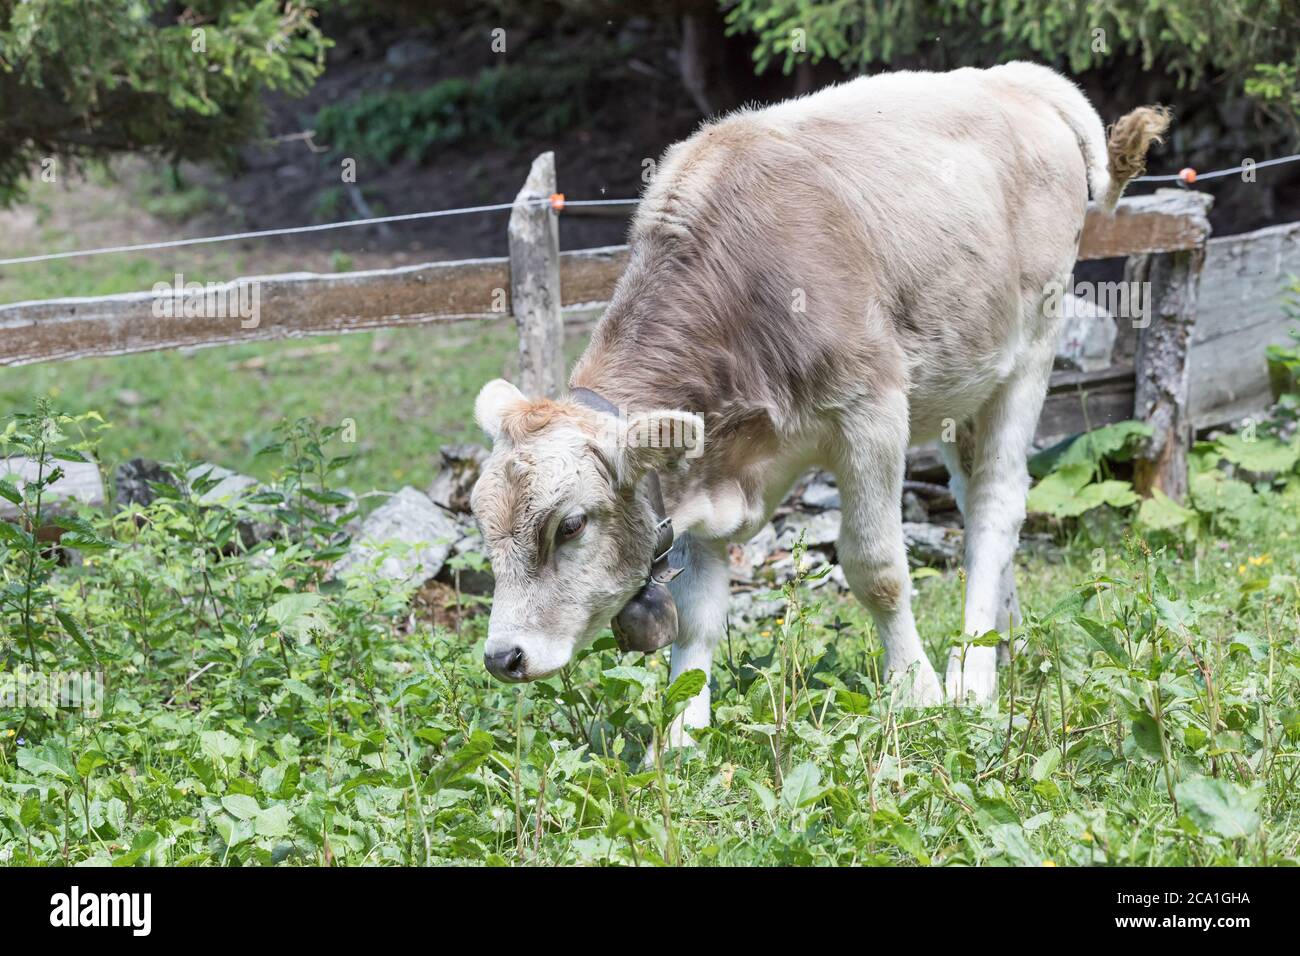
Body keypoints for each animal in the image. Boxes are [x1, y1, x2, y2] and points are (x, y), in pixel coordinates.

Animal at [469, 62, 1168, 739]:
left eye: (571, 524)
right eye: (483, 524)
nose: (503, 657)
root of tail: (1021, 79)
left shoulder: (873, 413)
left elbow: (877, 569)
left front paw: (917, 690)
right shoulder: (699, 470)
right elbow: (697, 612)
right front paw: (682, 738)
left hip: (1030, 353)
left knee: (998, 500)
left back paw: (971, 674)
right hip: (959, 384)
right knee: (974, 503)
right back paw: (1004, 643)